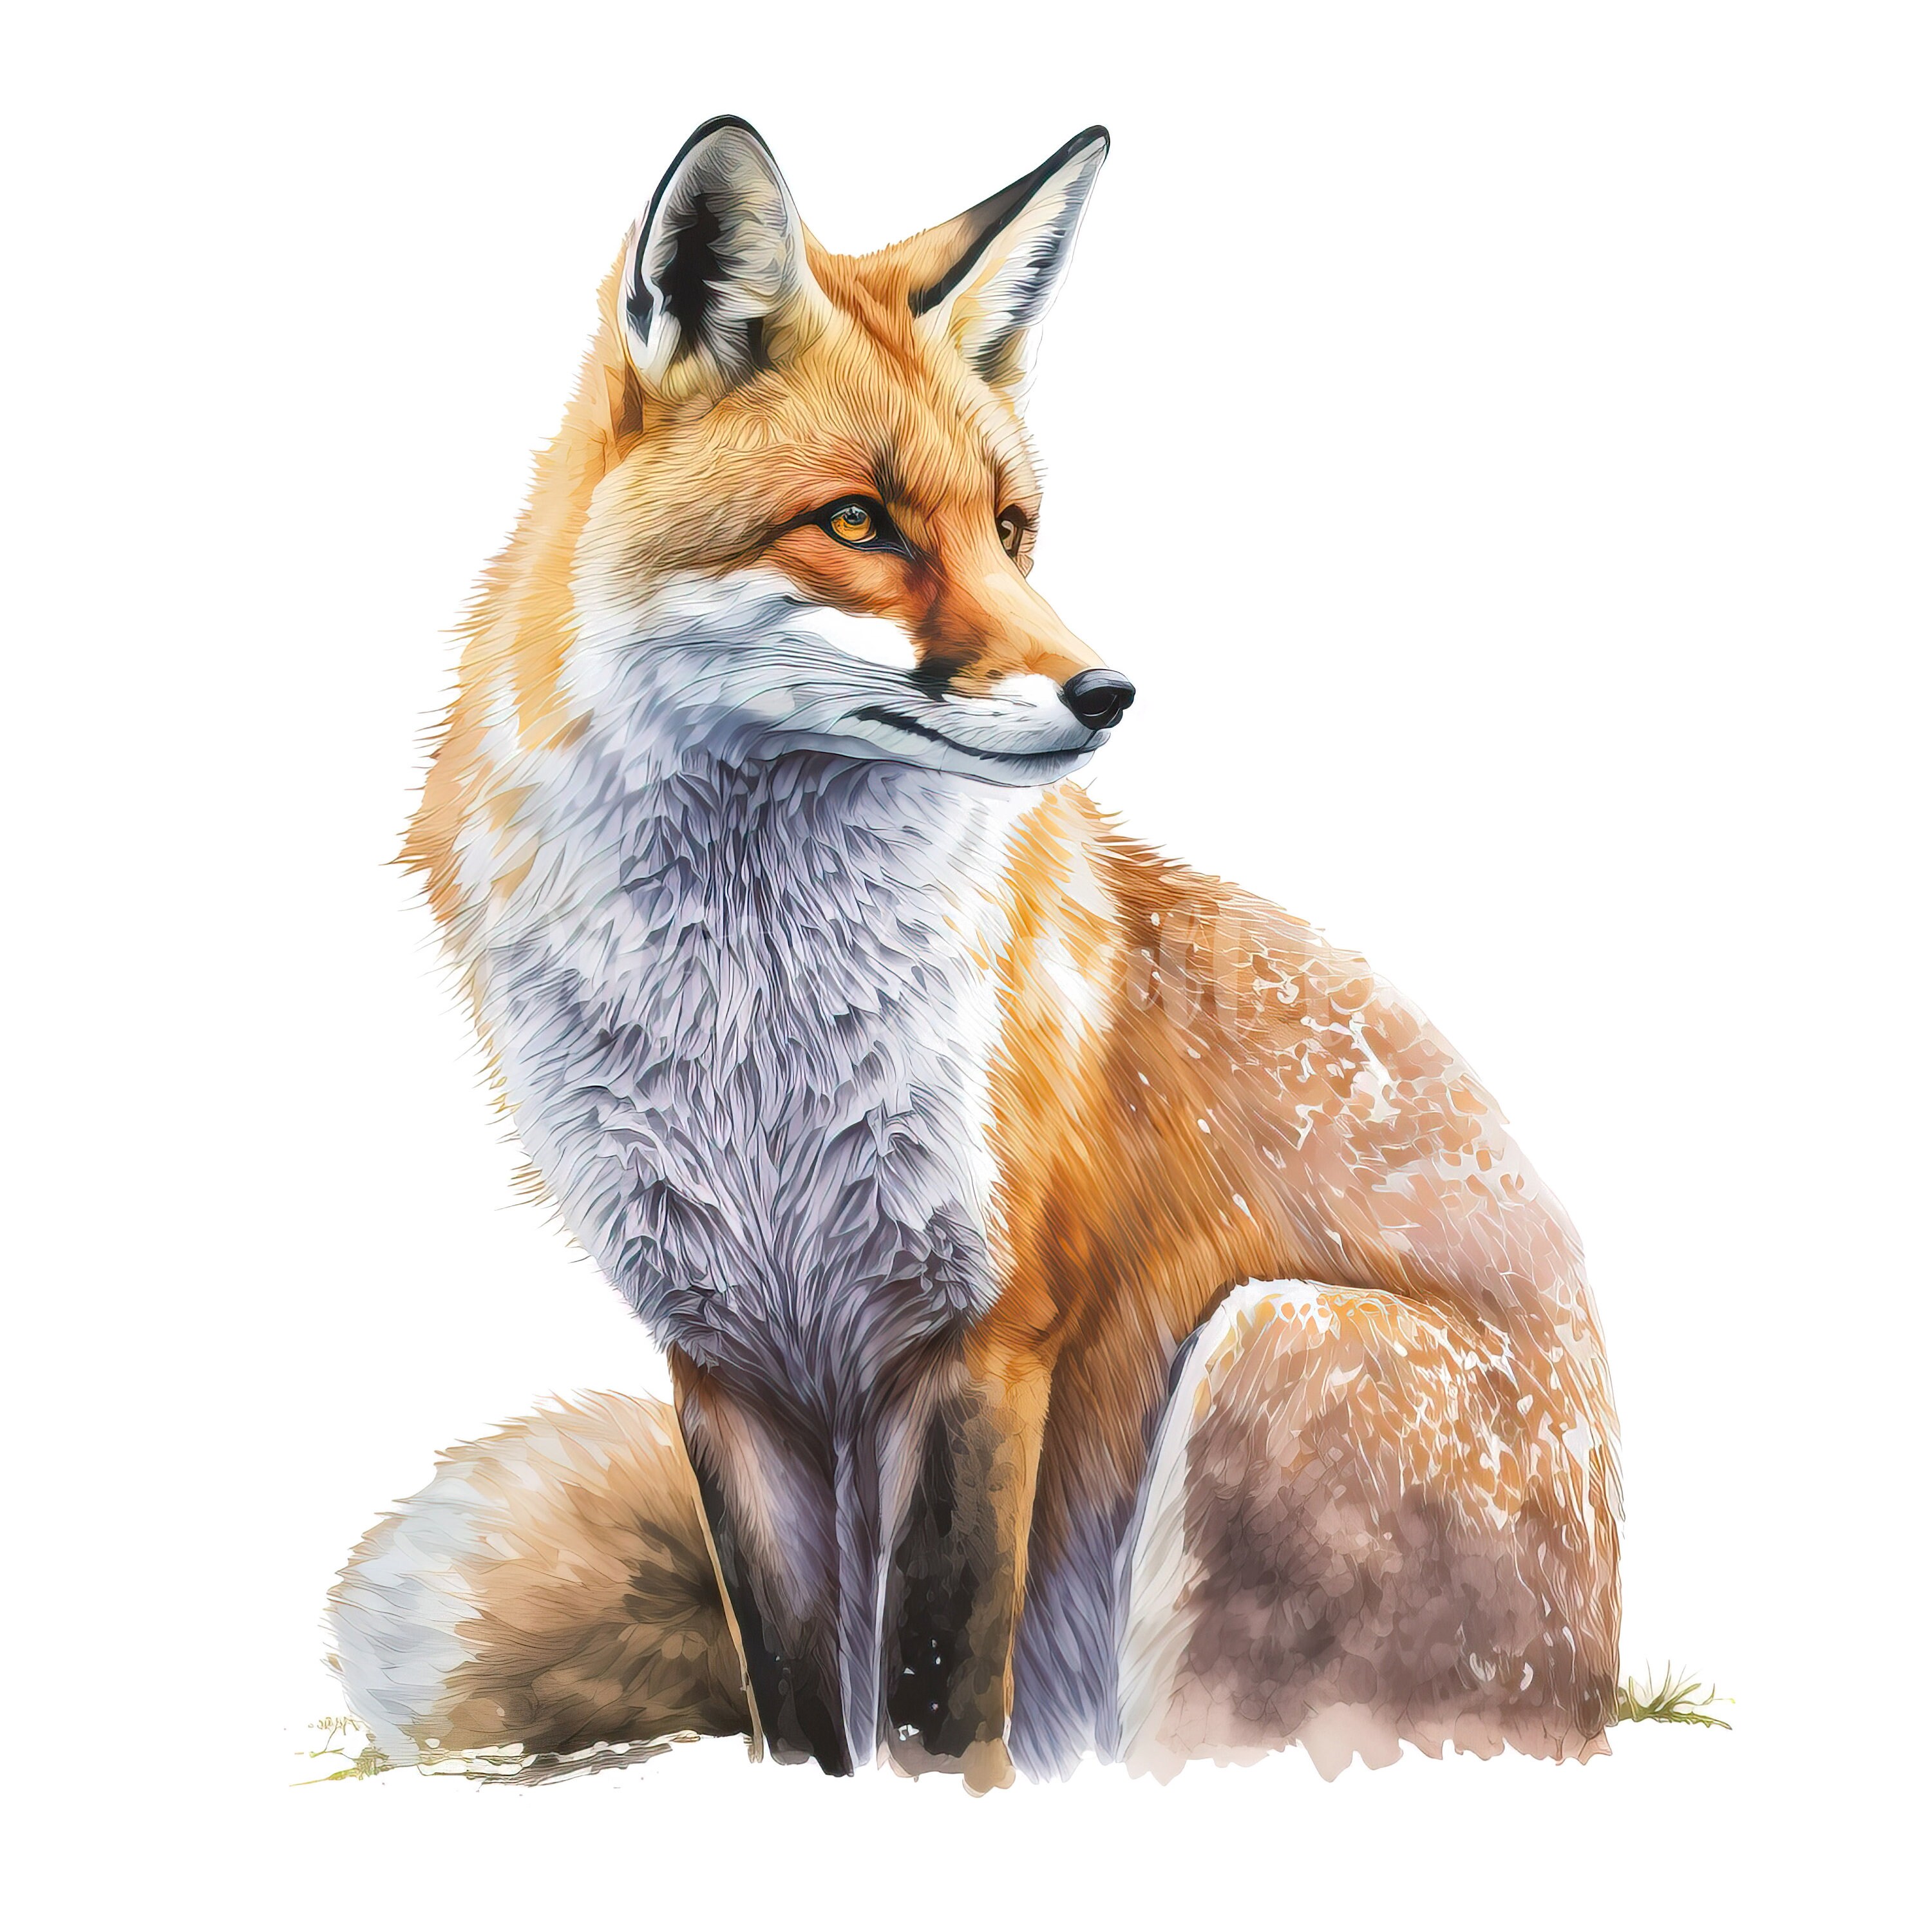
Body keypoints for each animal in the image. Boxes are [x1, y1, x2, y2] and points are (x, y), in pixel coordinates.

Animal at [330, 117, 1621, 1788]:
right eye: (859, 521)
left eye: (1012, 531)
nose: (1107, 692)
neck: (751, 1025)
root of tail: (1599, 1693)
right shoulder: (724, 1356)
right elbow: (803, 1705)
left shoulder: (982, 1328)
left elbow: (938, 1692)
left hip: (1259, 1373)